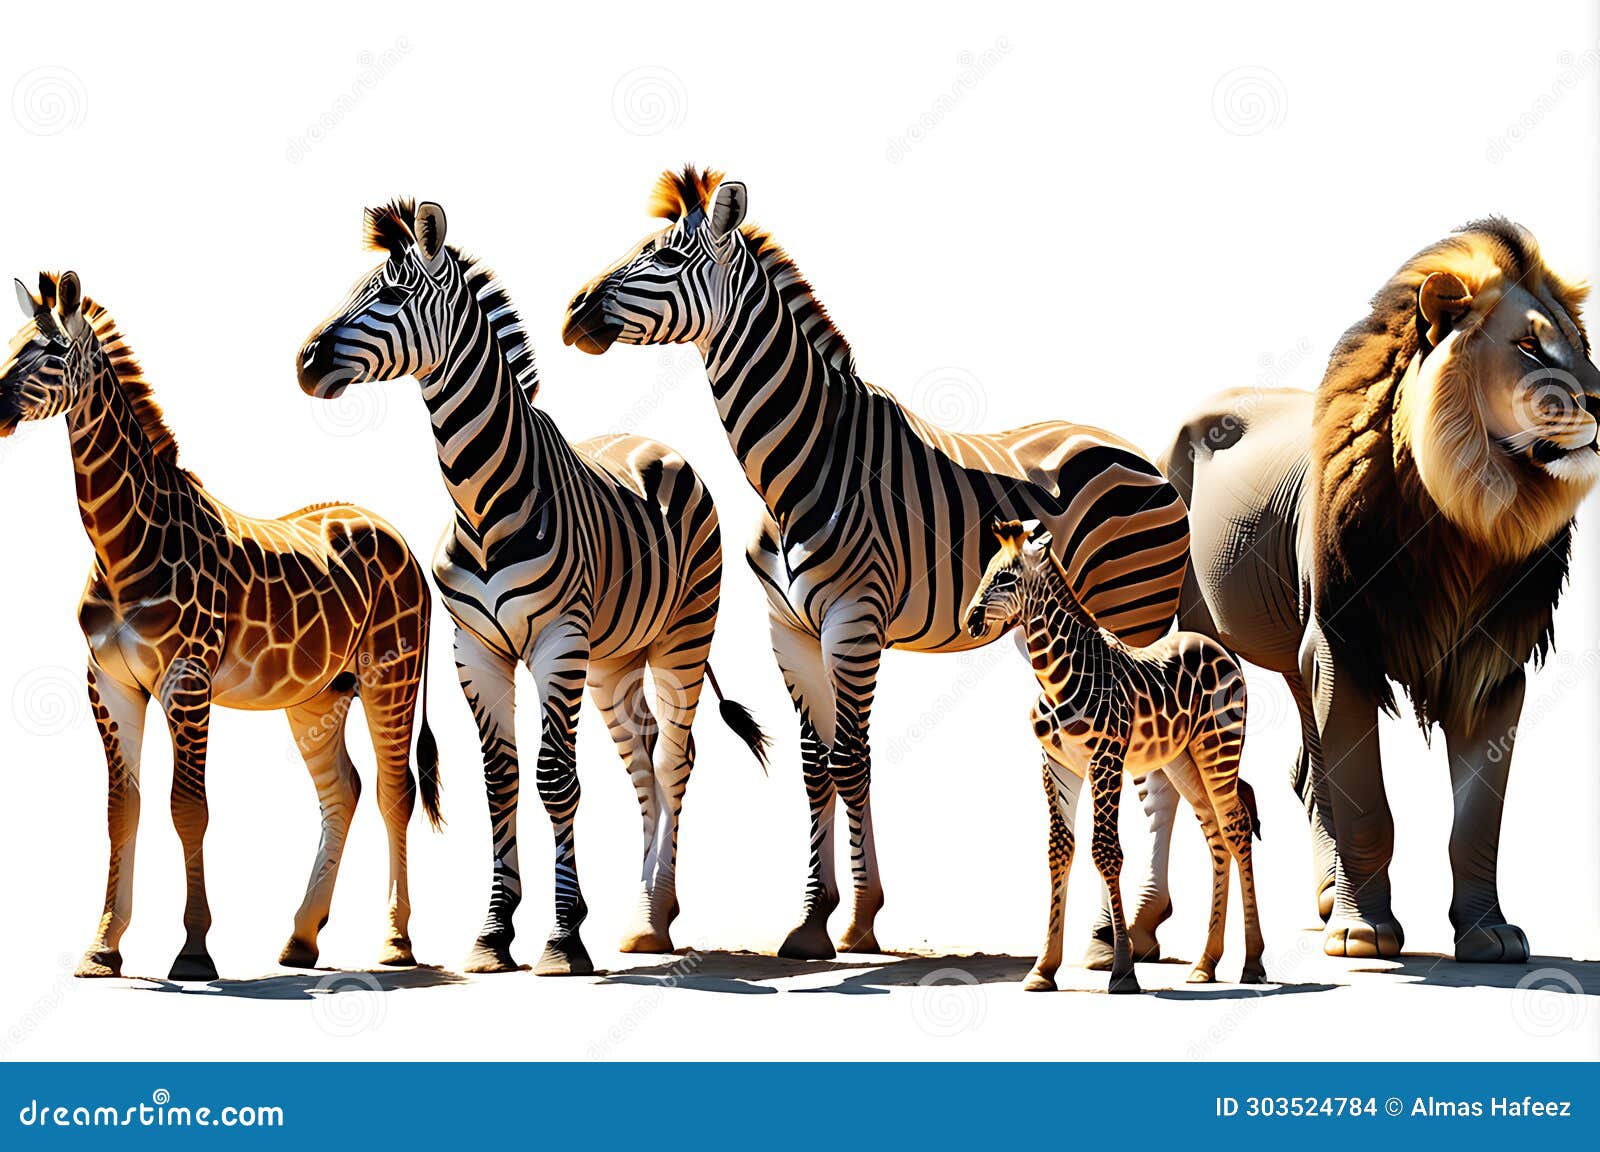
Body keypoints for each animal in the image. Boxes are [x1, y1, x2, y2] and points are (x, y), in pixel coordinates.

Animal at [297, 199, 768, 975]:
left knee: (676, 757)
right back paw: (644, 910)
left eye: (390, 296)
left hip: (681, 639)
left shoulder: (555, 641)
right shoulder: (476, 648)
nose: (304, 362)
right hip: (613, 660)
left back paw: (658, 914)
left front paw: (561, 936)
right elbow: (501, 781)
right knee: (642, 758)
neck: (484, 500)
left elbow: (554, 778)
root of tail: (653, 444)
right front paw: (494, 932)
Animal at [563, 167, 1191, 959]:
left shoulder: (854, 621)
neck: (800, 462)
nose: (573, 312)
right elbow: (813, 766)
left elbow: (850, 759)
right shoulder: (789, 630)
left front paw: (860, 918)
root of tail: (1142, 455)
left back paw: (1126, 930)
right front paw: (811, 920)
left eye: (668, 258)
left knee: (1155, 765)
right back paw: (1138, 925)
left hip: (1131, 613)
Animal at [1093, 218, 1599, 965]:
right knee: (1163, 784)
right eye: (1528, 345)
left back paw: (1325, 898)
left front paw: (1489, 933)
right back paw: (1130, 931)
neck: (1470, 516)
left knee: (1307, 777)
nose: (1599, 401)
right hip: (1182, 636)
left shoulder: (1491, 667)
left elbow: (1476, 822)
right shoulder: (1339, 644)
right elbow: (1366, 804)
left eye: (1580, 344)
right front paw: (1365, 933)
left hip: (1294, 657)